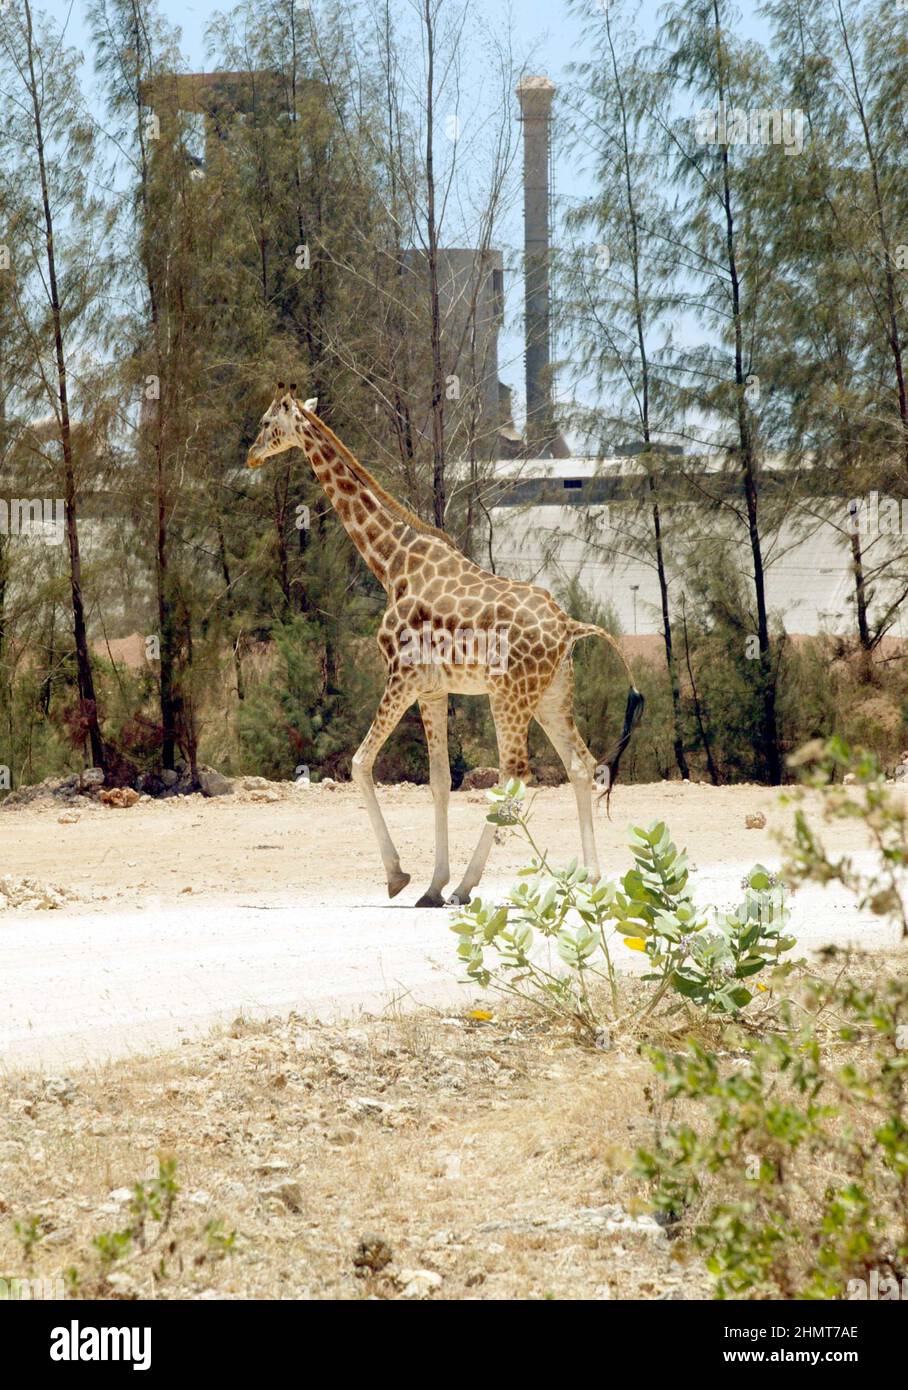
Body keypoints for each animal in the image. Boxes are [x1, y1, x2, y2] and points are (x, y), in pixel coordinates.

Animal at [247, 386, 644, 906]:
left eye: (267, 422)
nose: (250, 455)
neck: (391, 561)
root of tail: (569, 626)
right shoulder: (433, 688)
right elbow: (437, 782)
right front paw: (431, 884)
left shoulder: (402, 674)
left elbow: (360, 762)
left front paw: (399, 876)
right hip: (552, 694)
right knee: (581, 764)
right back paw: (590, 879)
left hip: (509, 696)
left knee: (515, 773)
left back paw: (467, 887)